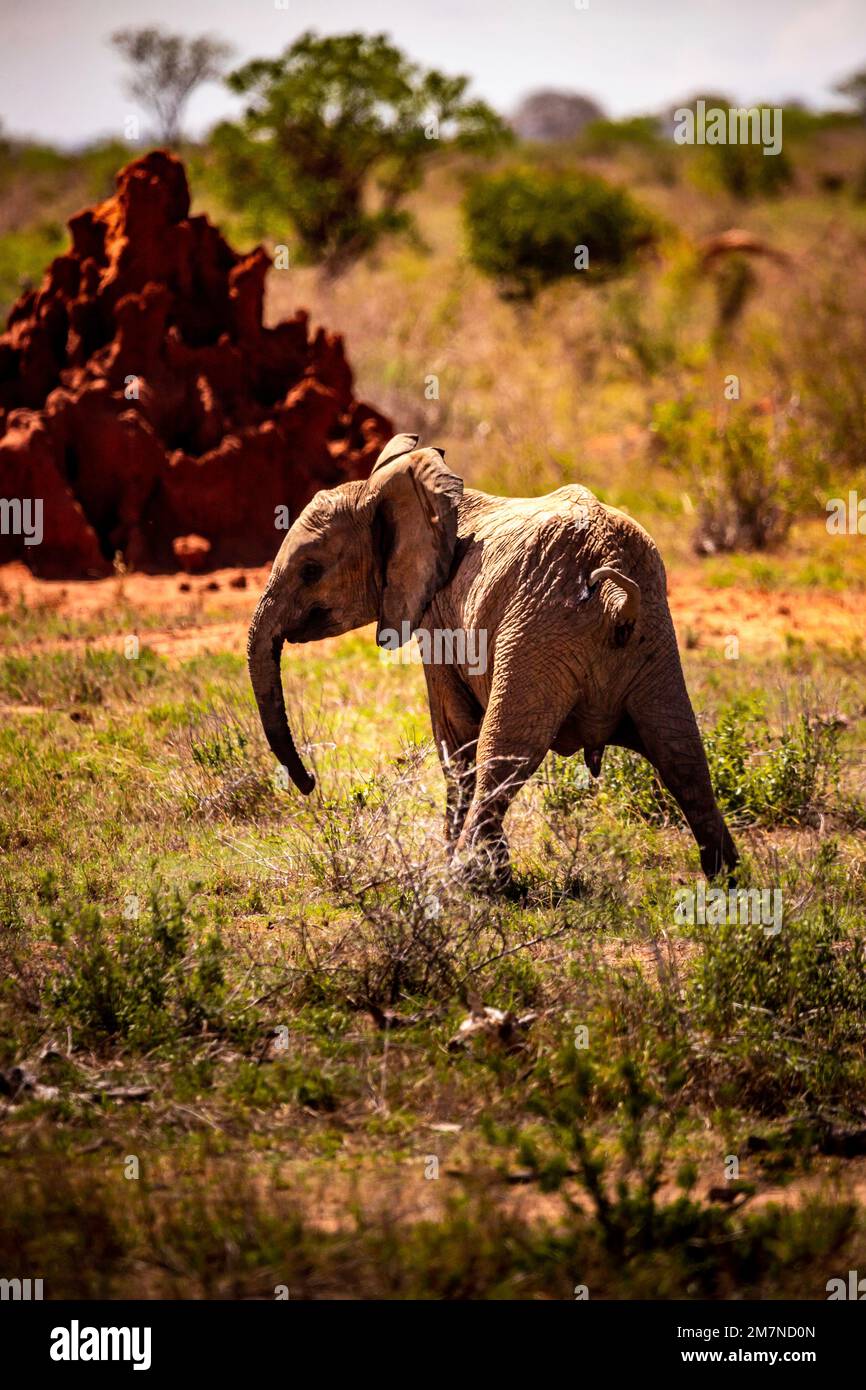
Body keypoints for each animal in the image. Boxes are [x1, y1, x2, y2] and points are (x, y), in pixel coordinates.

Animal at [247, 433, 738, 888]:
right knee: (680, 751)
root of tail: (615, 593)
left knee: (503, 755)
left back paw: (462, 884)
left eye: (311, 571)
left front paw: (469, 869)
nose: (310, 782)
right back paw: (726, 880)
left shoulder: (437, 615)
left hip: (541, 634)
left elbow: (456, 738)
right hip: (651, 634)